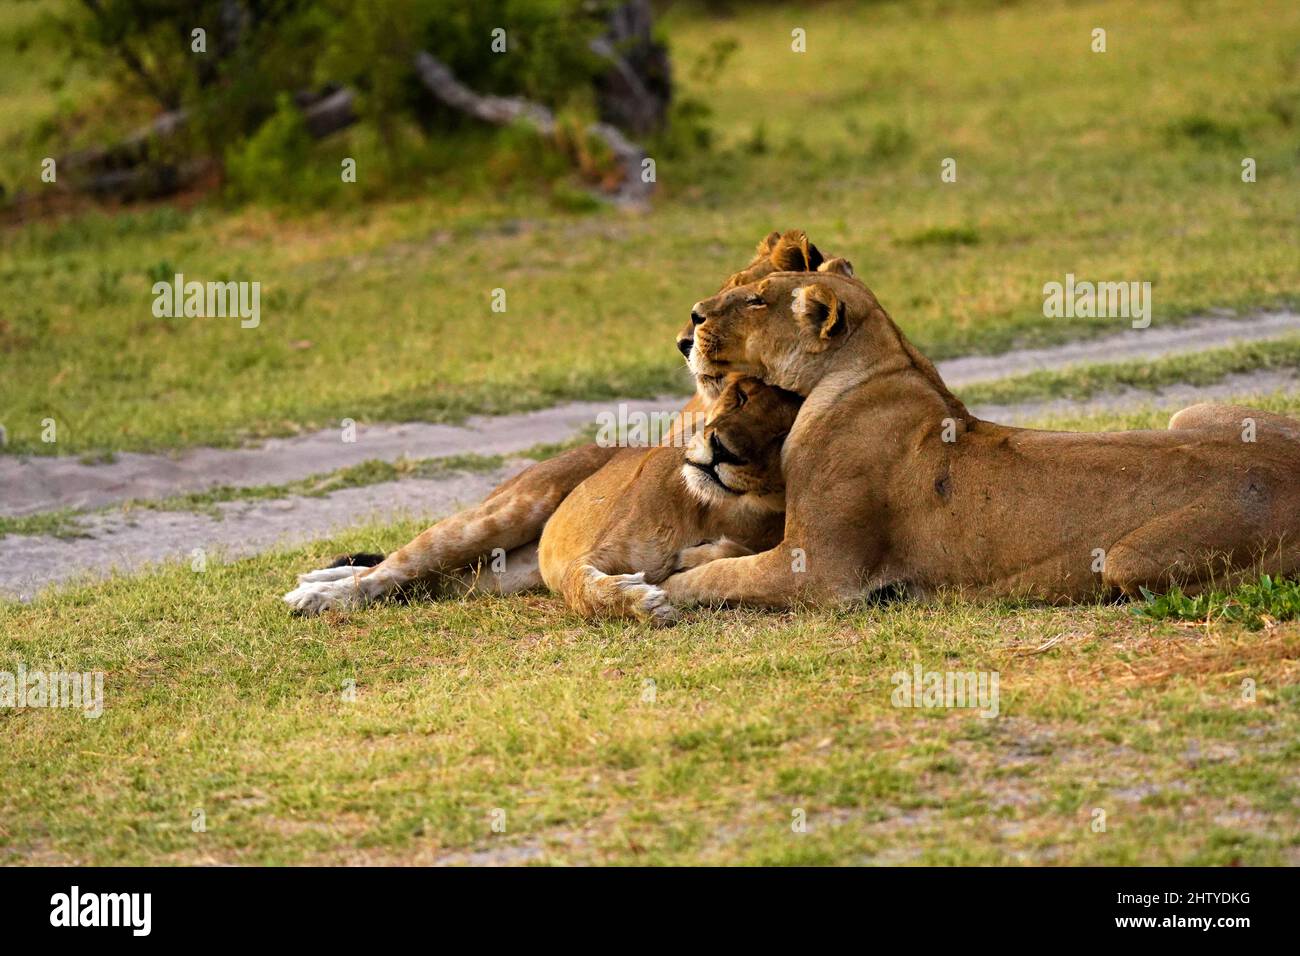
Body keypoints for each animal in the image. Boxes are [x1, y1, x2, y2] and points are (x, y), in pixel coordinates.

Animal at [538, 375, 801, 624]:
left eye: (781, 436)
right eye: (741, 397)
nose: (721, 450)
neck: (714, 510)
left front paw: (690, 560)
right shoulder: (605, 553)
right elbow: (576, 587)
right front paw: (641, 601)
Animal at [659, 266, 1300, 610]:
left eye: (756, 299)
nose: (691, 317)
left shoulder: (821, 571)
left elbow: (725, 577)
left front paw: (674, 585)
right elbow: (729, 554)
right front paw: (694, 553)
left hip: (1127, 563)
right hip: (1191, 411)